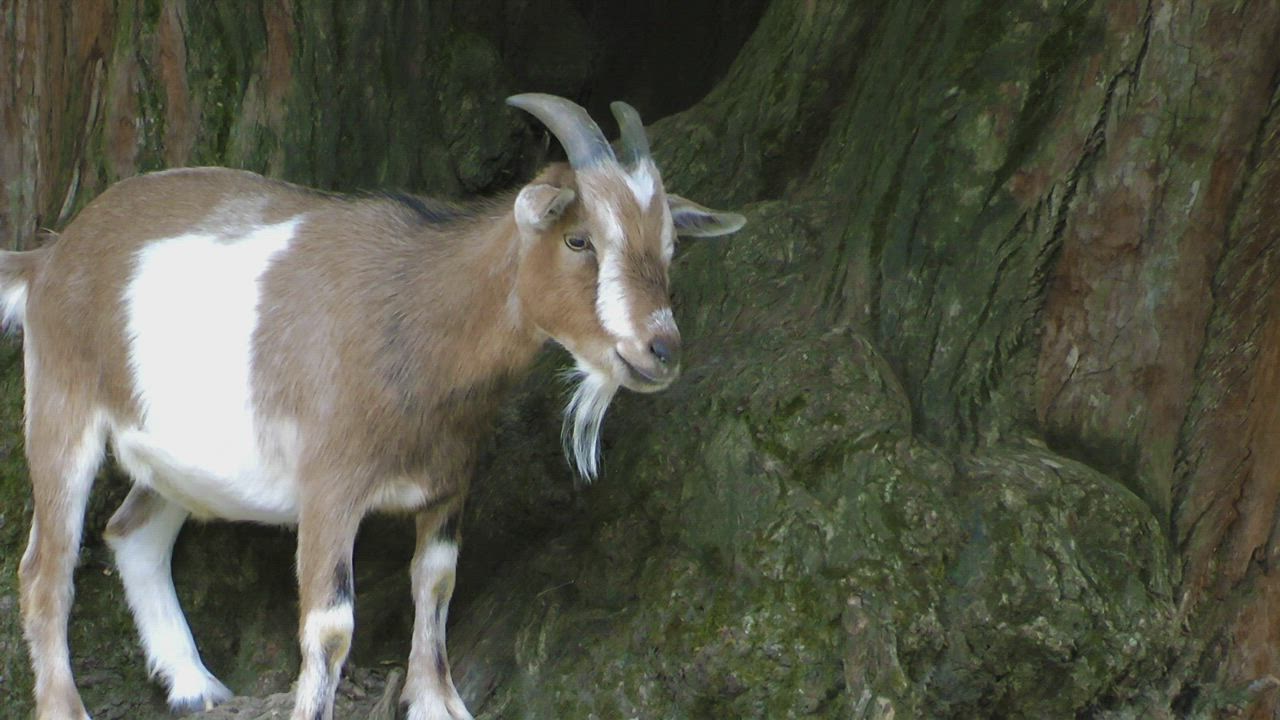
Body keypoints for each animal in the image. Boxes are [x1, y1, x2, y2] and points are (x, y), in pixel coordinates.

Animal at [0, 93, 744, 720]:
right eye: (580, 238)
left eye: (669, 247)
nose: (659, 350)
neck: (418, 316)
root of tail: (49, 258)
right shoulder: (330, 486)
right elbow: (330, 626)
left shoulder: (449, 480)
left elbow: (437, 582)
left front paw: (438, 701)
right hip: (61, 405)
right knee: (45, 571)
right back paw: (68, 707)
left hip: (176, 457)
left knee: (134, 534)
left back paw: (194, 684)